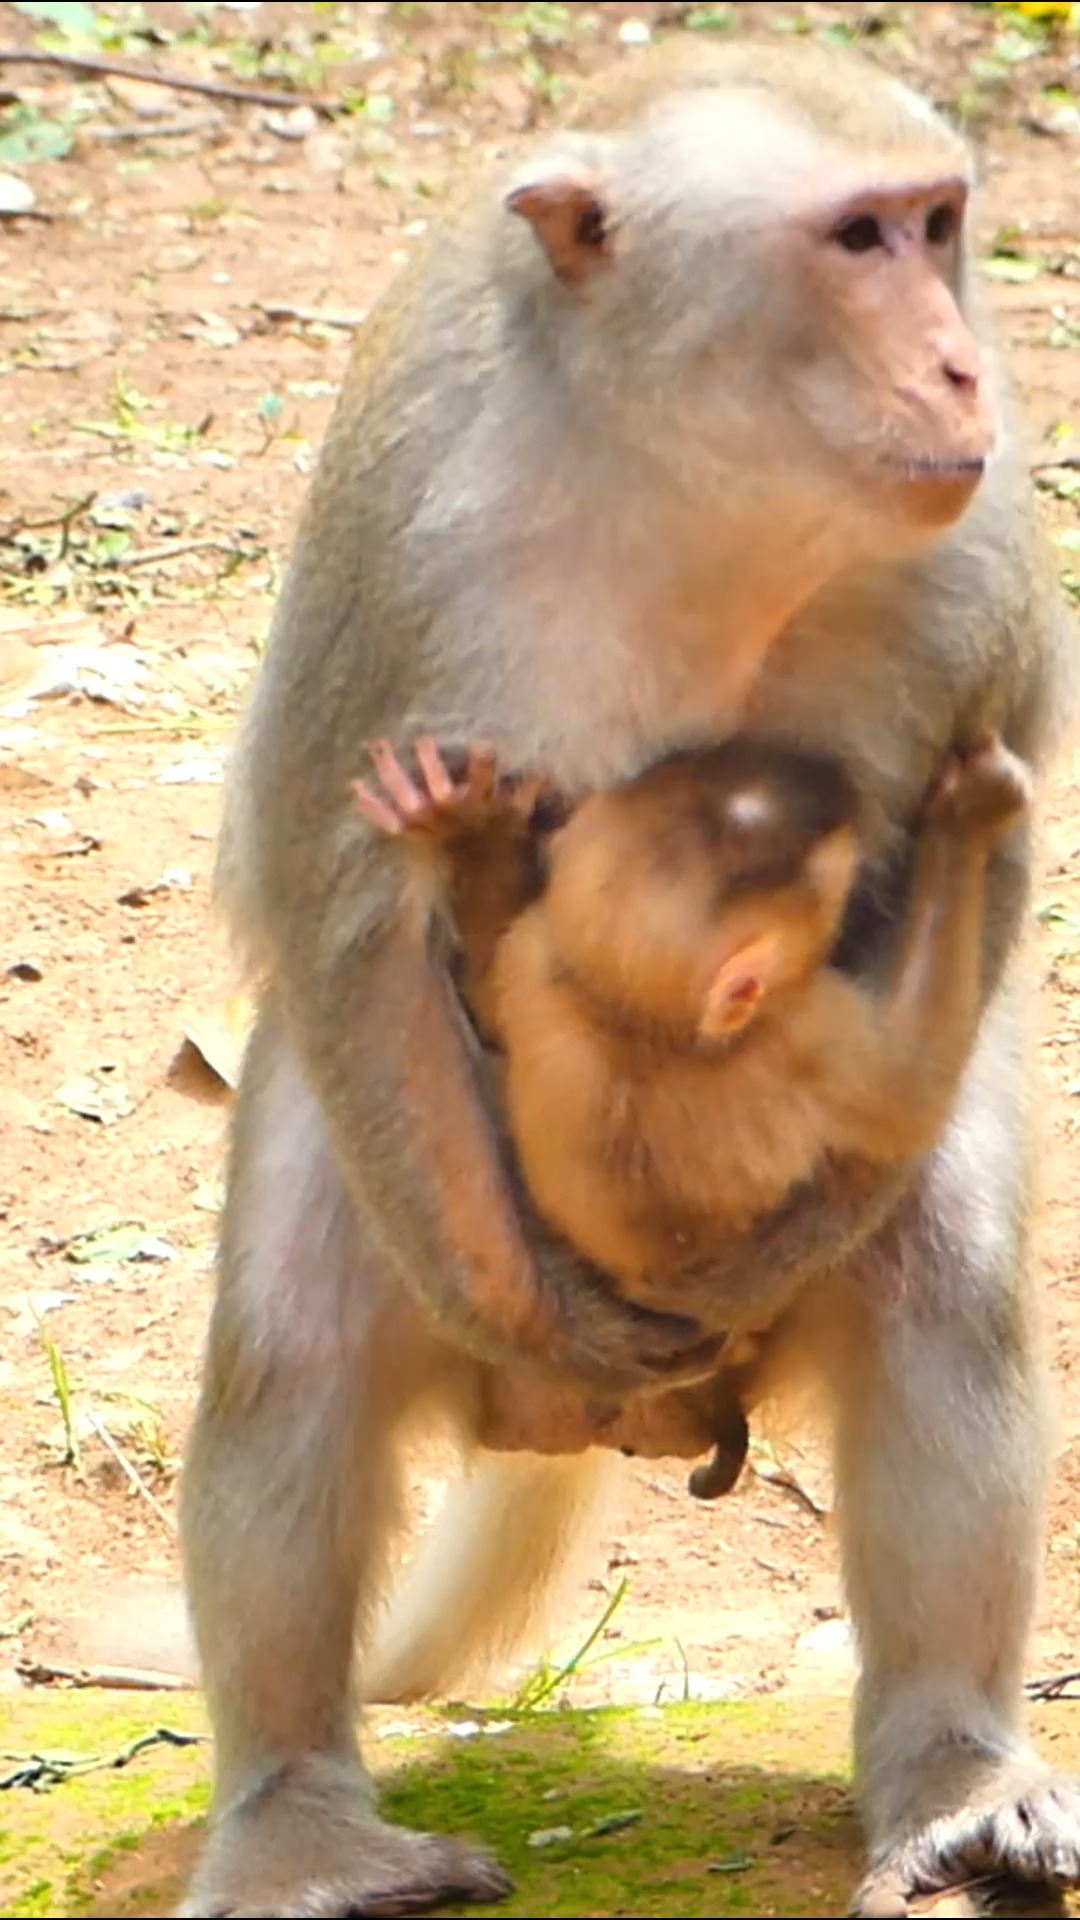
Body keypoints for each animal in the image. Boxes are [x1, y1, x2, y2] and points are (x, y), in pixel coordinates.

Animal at [353, 730, 1031, 1507]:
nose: (832, 780)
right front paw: (970, 817)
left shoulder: (537, 963)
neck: (634, 1024)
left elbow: (494, 988)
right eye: (832, 874)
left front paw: (466, 833)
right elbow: (912, 1094)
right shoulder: (808, 1034)